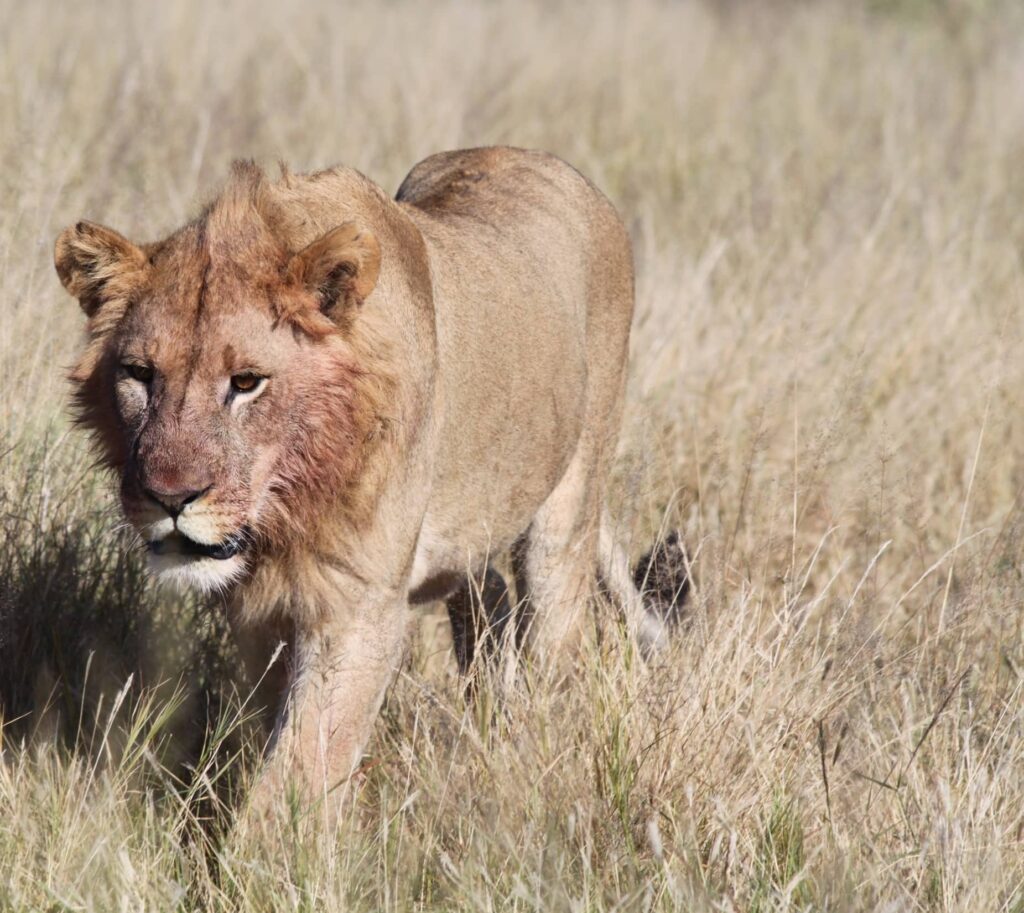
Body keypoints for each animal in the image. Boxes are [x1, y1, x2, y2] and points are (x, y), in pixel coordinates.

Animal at [54, 147, 684, 820]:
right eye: (139, 374)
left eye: (246, 382)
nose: (170, 498)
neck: (288, 507)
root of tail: (549, 164)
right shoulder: (257, 613)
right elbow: (274, 733)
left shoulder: (357, 606)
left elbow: (299, 766)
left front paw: (274, 846)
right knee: (485, 597)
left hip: (568, 505)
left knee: (553, 640)